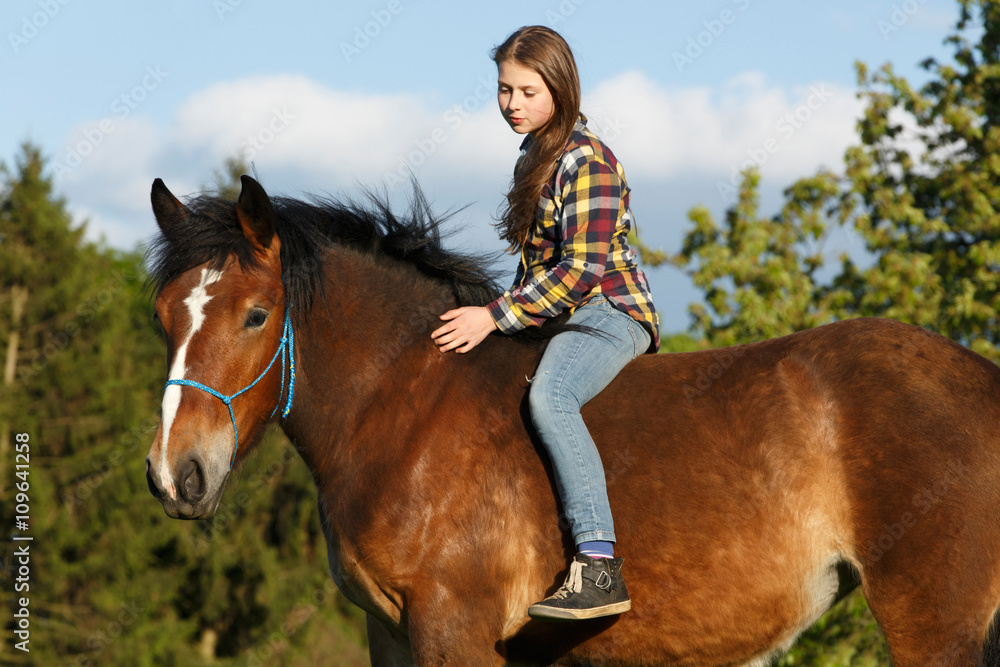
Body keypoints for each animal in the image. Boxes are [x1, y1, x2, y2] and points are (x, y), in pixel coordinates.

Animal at [143, 174, 1000, 666]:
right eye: (161, 316)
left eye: (257, 315)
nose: (175, 475)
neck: (407, 403)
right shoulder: (389, 634)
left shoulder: (454, 629)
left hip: (936, 625)